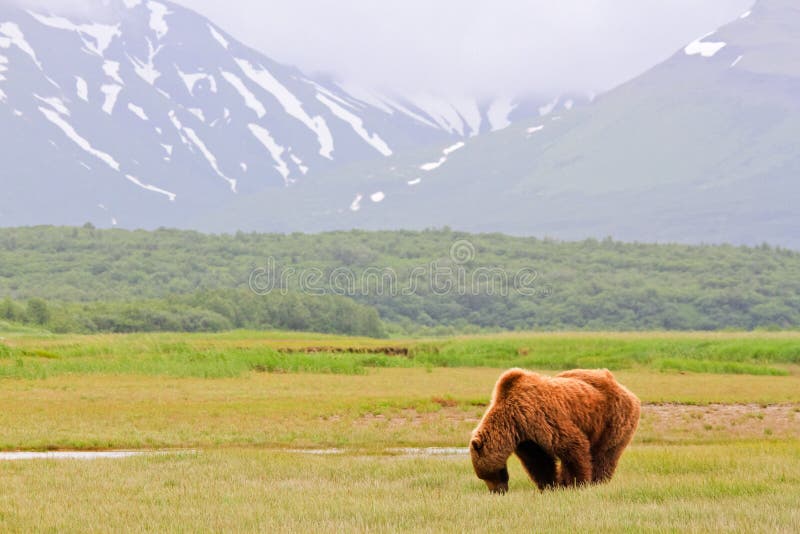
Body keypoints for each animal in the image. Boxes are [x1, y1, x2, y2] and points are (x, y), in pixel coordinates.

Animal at [470, 367, 640, 494]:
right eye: (483, 476)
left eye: (488, 474)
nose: (498, 491)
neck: (512, 422)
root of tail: (627, 391)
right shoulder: (527, 437)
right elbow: (538, 460)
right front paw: (550, 485)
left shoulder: (541, 417)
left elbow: (572, 446)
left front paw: (577, 483)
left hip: (612, 418)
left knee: (604, 453)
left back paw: (597, 481)